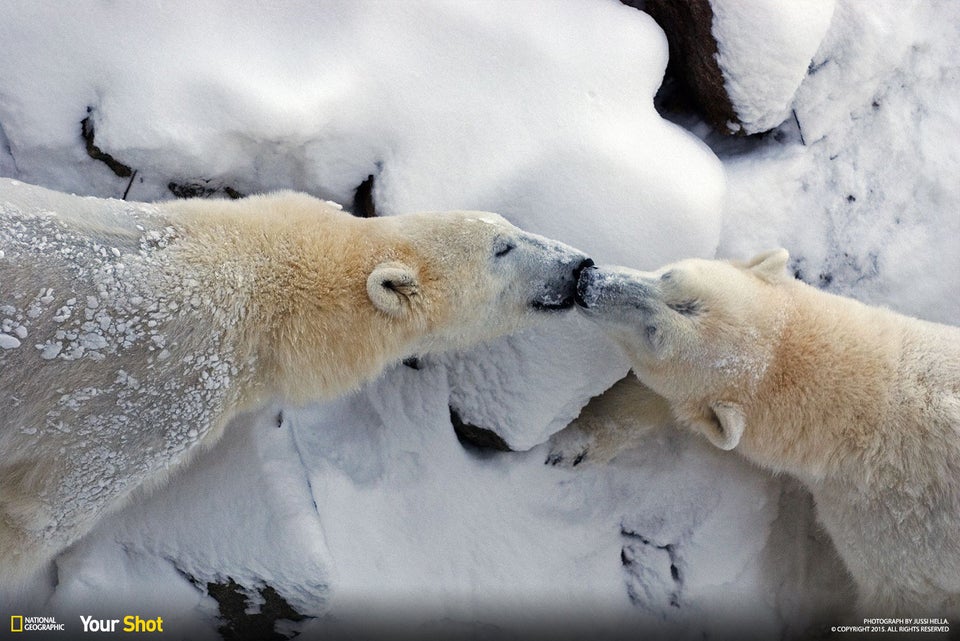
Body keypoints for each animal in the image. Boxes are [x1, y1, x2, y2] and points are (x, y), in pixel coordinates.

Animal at [571, 248, 960, 617]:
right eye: (670, 277)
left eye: (654, 335)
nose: (586, 281)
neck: (870, 405)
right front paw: (577, 441)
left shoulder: (898, 546)